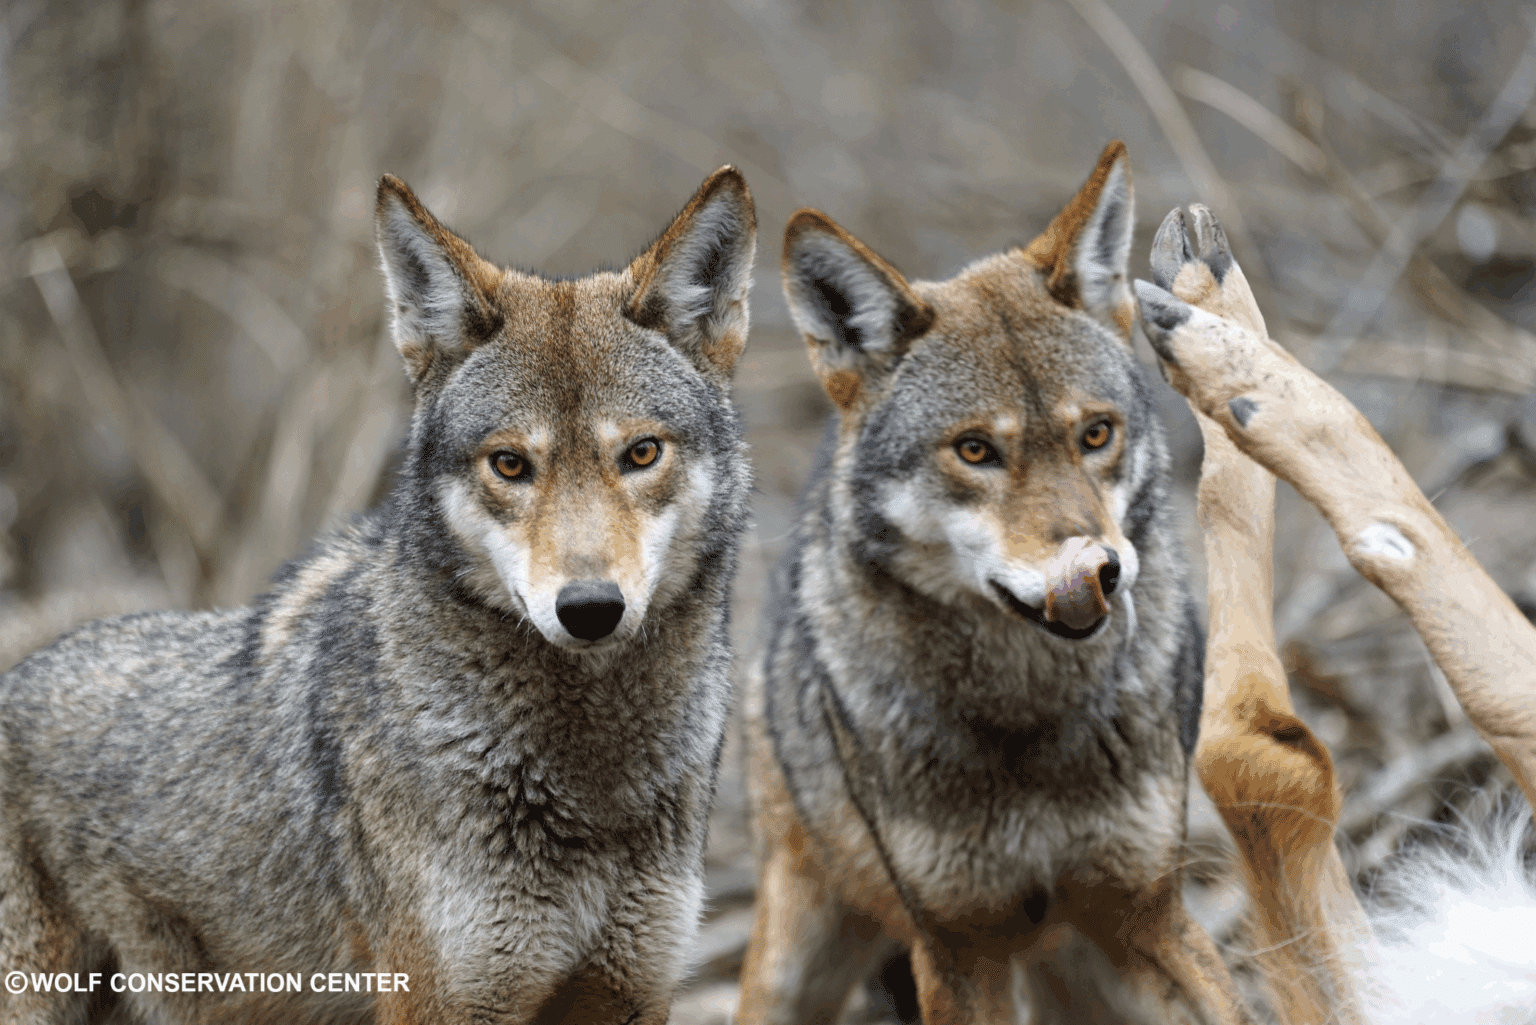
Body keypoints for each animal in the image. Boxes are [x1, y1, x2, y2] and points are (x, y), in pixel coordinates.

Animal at [0, 166, 756, 1025]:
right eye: (509, 464)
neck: (590, 769)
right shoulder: (445, 1000)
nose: (590, 608)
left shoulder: (631, 992)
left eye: (641, 453)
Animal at [736, 143, 1257, 1023]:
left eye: (1096, 434)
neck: (1028, 712)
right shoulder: (959, 948)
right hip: (799, 955)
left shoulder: (1148, 912)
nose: (1099, 570)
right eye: (976, 450)